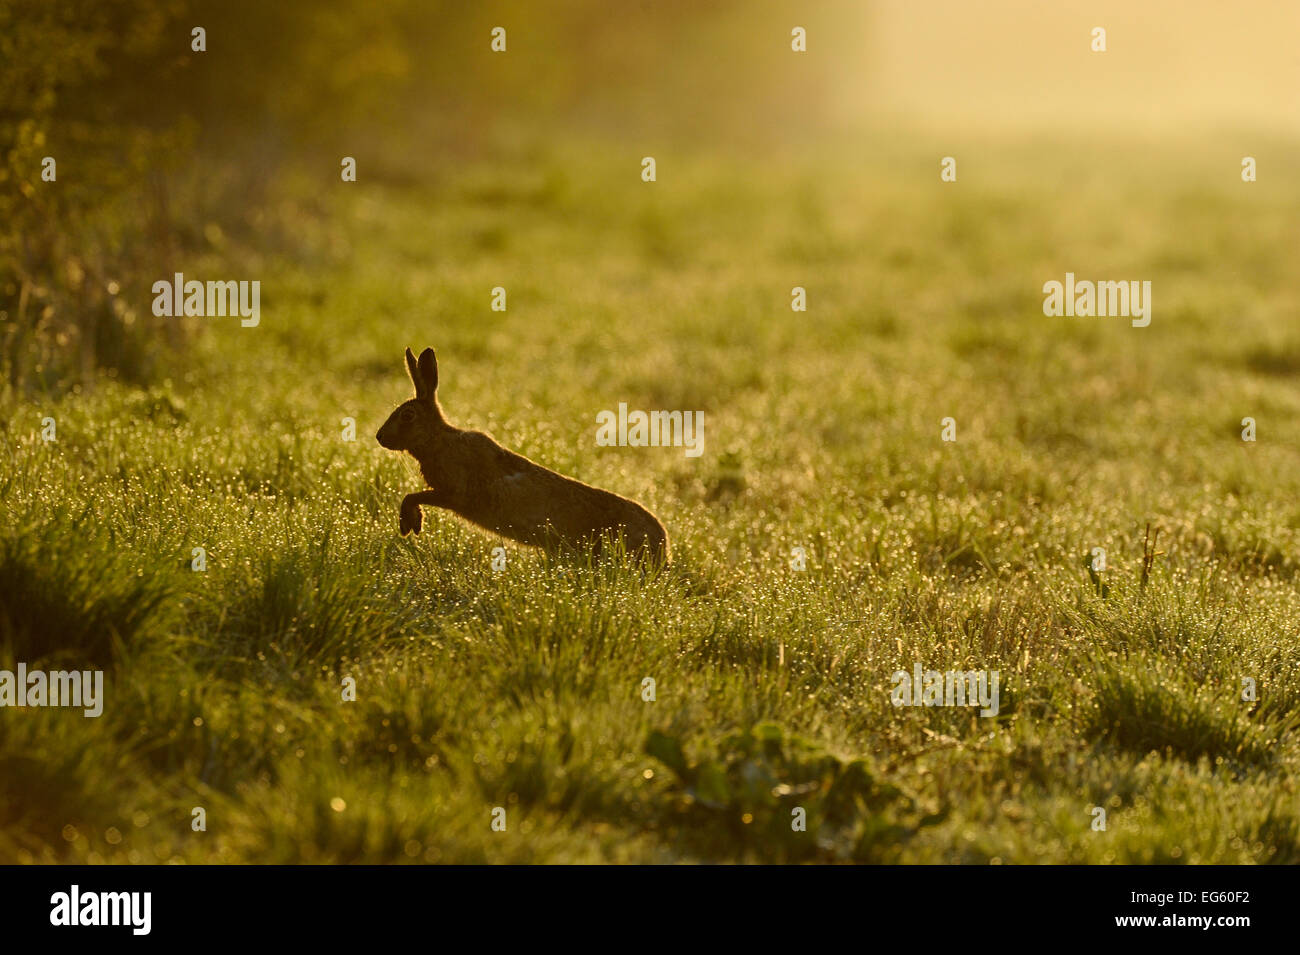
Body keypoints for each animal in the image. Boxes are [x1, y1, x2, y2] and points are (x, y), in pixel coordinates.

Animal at [376, 347, 670, 565]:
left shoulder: (453, 492)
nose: (380, 437)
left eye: (407, 416)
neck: (437, 440)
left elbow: (413, 496)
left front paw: (410, 524)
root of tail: (663, 547)